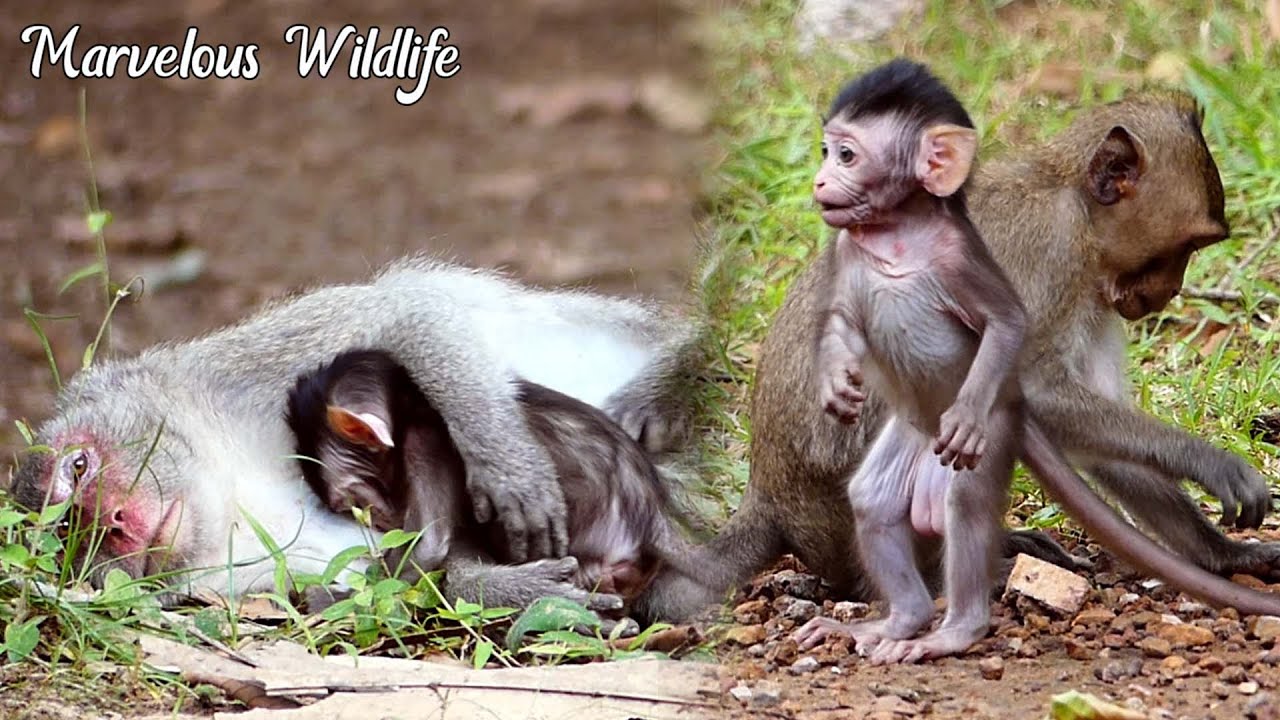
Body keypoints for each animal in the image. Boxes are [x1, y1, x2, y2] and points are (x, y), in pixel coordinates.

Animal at [284, 348, 701, 617]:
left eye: (357, 504)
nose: (384, 522)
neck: (411, 403)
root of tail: (650, 514)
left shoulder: (424, 442)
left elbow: (426, 549)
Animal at [642, 75, 1280, 628]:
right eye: (1183, 248)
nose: (1170, 290)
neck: (1071, 203)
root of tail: (769, 495)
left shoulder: (1093, 299)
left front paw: (1221, 553)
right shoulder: (1045, 256)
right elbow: (1033, 394)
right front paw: (1212, 464)